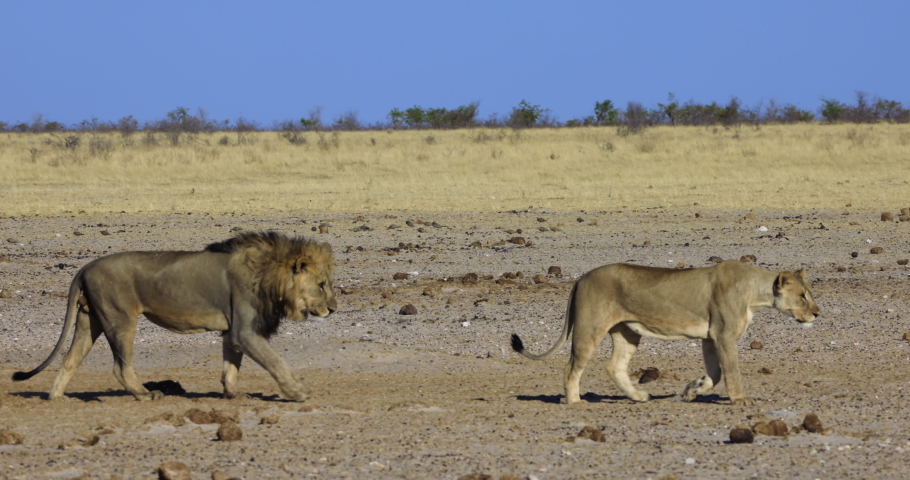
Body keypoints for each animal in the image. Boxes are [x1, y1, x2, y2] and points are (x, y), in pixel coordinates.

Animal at [12, 231, 336, 402]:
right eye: (322, 285)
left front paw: (233, 394)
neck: (269, 276)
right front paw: (299, 391)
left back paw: (57, 398)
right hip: (120, 318)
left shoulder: (232, 332)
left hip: (88, 319)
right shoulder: (245, 330)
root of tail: (85, 267)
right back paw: (146, 394)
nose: (334, 309)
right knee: (120, 367)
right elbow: (276, 361)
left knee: (70, 359)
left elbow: (230, 367)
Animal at [511, 260, 819, 406]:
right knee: (571, 368)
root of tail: (581, 278)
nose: (817, 313)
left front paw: (693, 390)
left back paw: (638, 396)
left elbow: (715, 373)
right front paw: (740, 399)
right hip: (590, 327)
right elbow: (731, 371)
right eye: (803, 296)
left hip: (627, 332)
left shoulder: (710, 337)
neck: (756, 293)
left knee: (615, 366)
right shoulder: (723, 334)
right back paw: (575, 401)